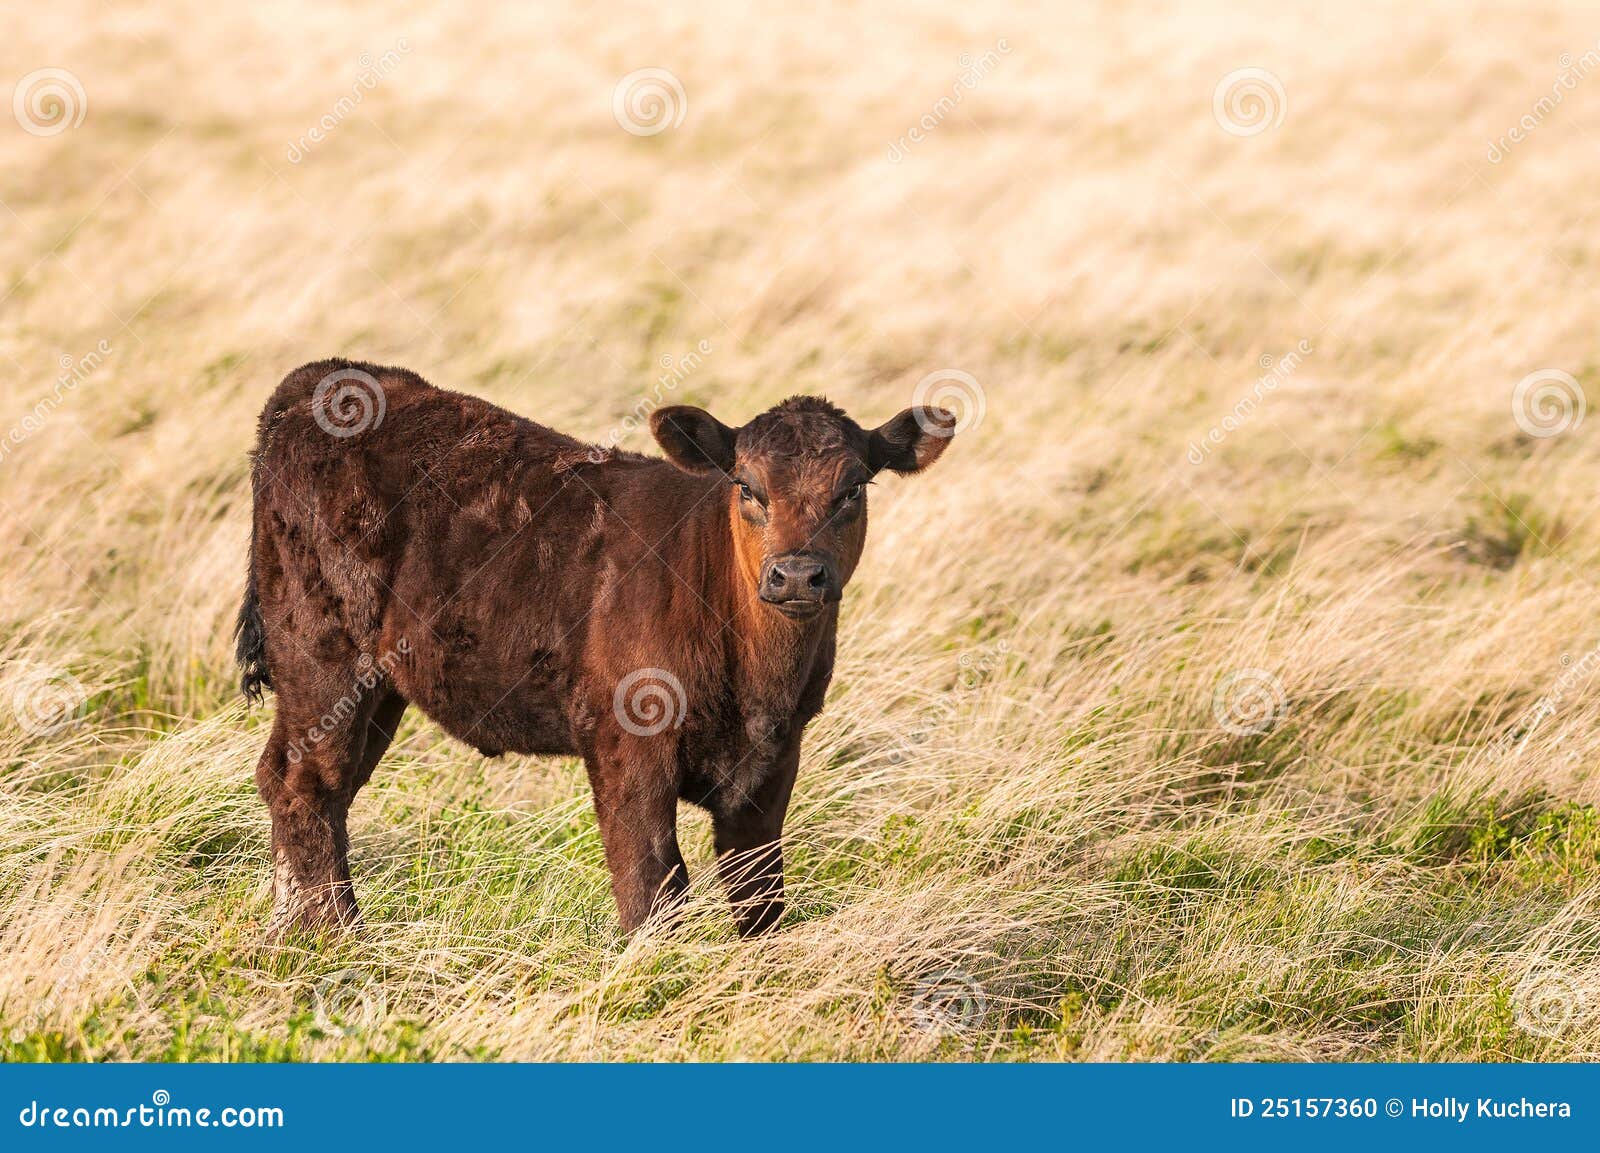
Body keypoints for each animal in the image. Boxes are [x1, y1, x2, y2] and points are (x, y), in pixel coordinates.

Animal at [235, 359, 954, 940]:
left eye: (853, 488)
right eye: (747, 486)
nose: (797, 574)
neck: (755, 681)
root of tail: (318, 382)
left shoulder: (774, 758)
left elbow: (758, 891)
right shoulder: (626, 738)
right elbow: (651, 880)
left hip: (379, 686)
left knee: (309, 784)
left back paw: (289, 927)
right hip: (322, 656)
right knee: (308, 781)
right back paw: (335, 936)